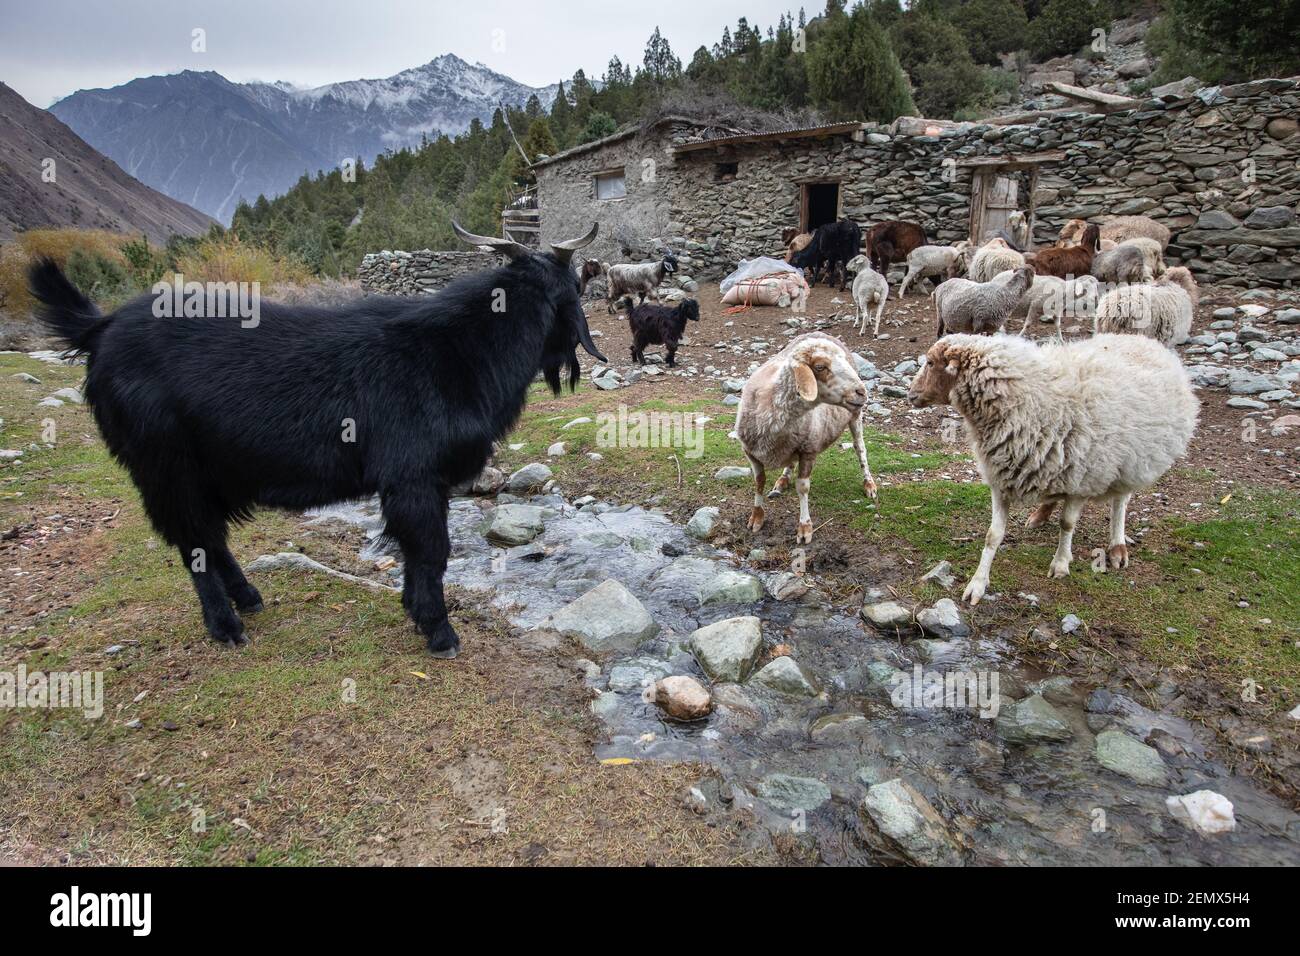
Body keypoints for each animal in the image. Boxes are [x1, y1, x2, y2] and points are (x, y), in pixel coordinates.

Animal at [27, 222, 606, 657]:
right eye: (575, 290)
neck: (458, 350)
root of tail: (100, 329)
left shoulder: (421, 484)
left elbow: (414, 550)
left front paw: (413, 611)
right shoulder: (413, 477)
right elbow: (431, 551)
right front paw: (439, 631)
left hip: (208, 471)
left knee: (211, 536)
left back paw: (248, 598)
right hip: (164, 466)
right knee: (193, 540)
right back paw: (226, 626)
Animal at [736, 332, 876, 545]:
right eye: (820, 367)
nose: (861, 391)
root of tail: (821, 332)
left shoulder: (808, 450)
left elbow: (802, 488)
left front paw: (805, 527)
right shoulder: (750, 452)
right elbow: (759, 482)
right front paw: (756, 517)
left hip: (855, 415)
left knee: (860, 449)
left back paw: (869, 483)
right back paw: (783, 478)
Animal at [906, 333, 1198, 605]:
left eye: (930, 363)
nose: (910, 393)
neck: (1027, 399)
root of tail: (1142, 339)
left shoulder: (1083, 480)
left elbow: (1067, 524)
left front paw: (1060, 563)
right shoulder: (1002, 479)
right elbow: (993, 536)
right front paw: (977, 583)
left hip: (1130, 461)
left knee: (1120, 500)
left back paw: (1116, 546)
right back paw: (1040, 514)